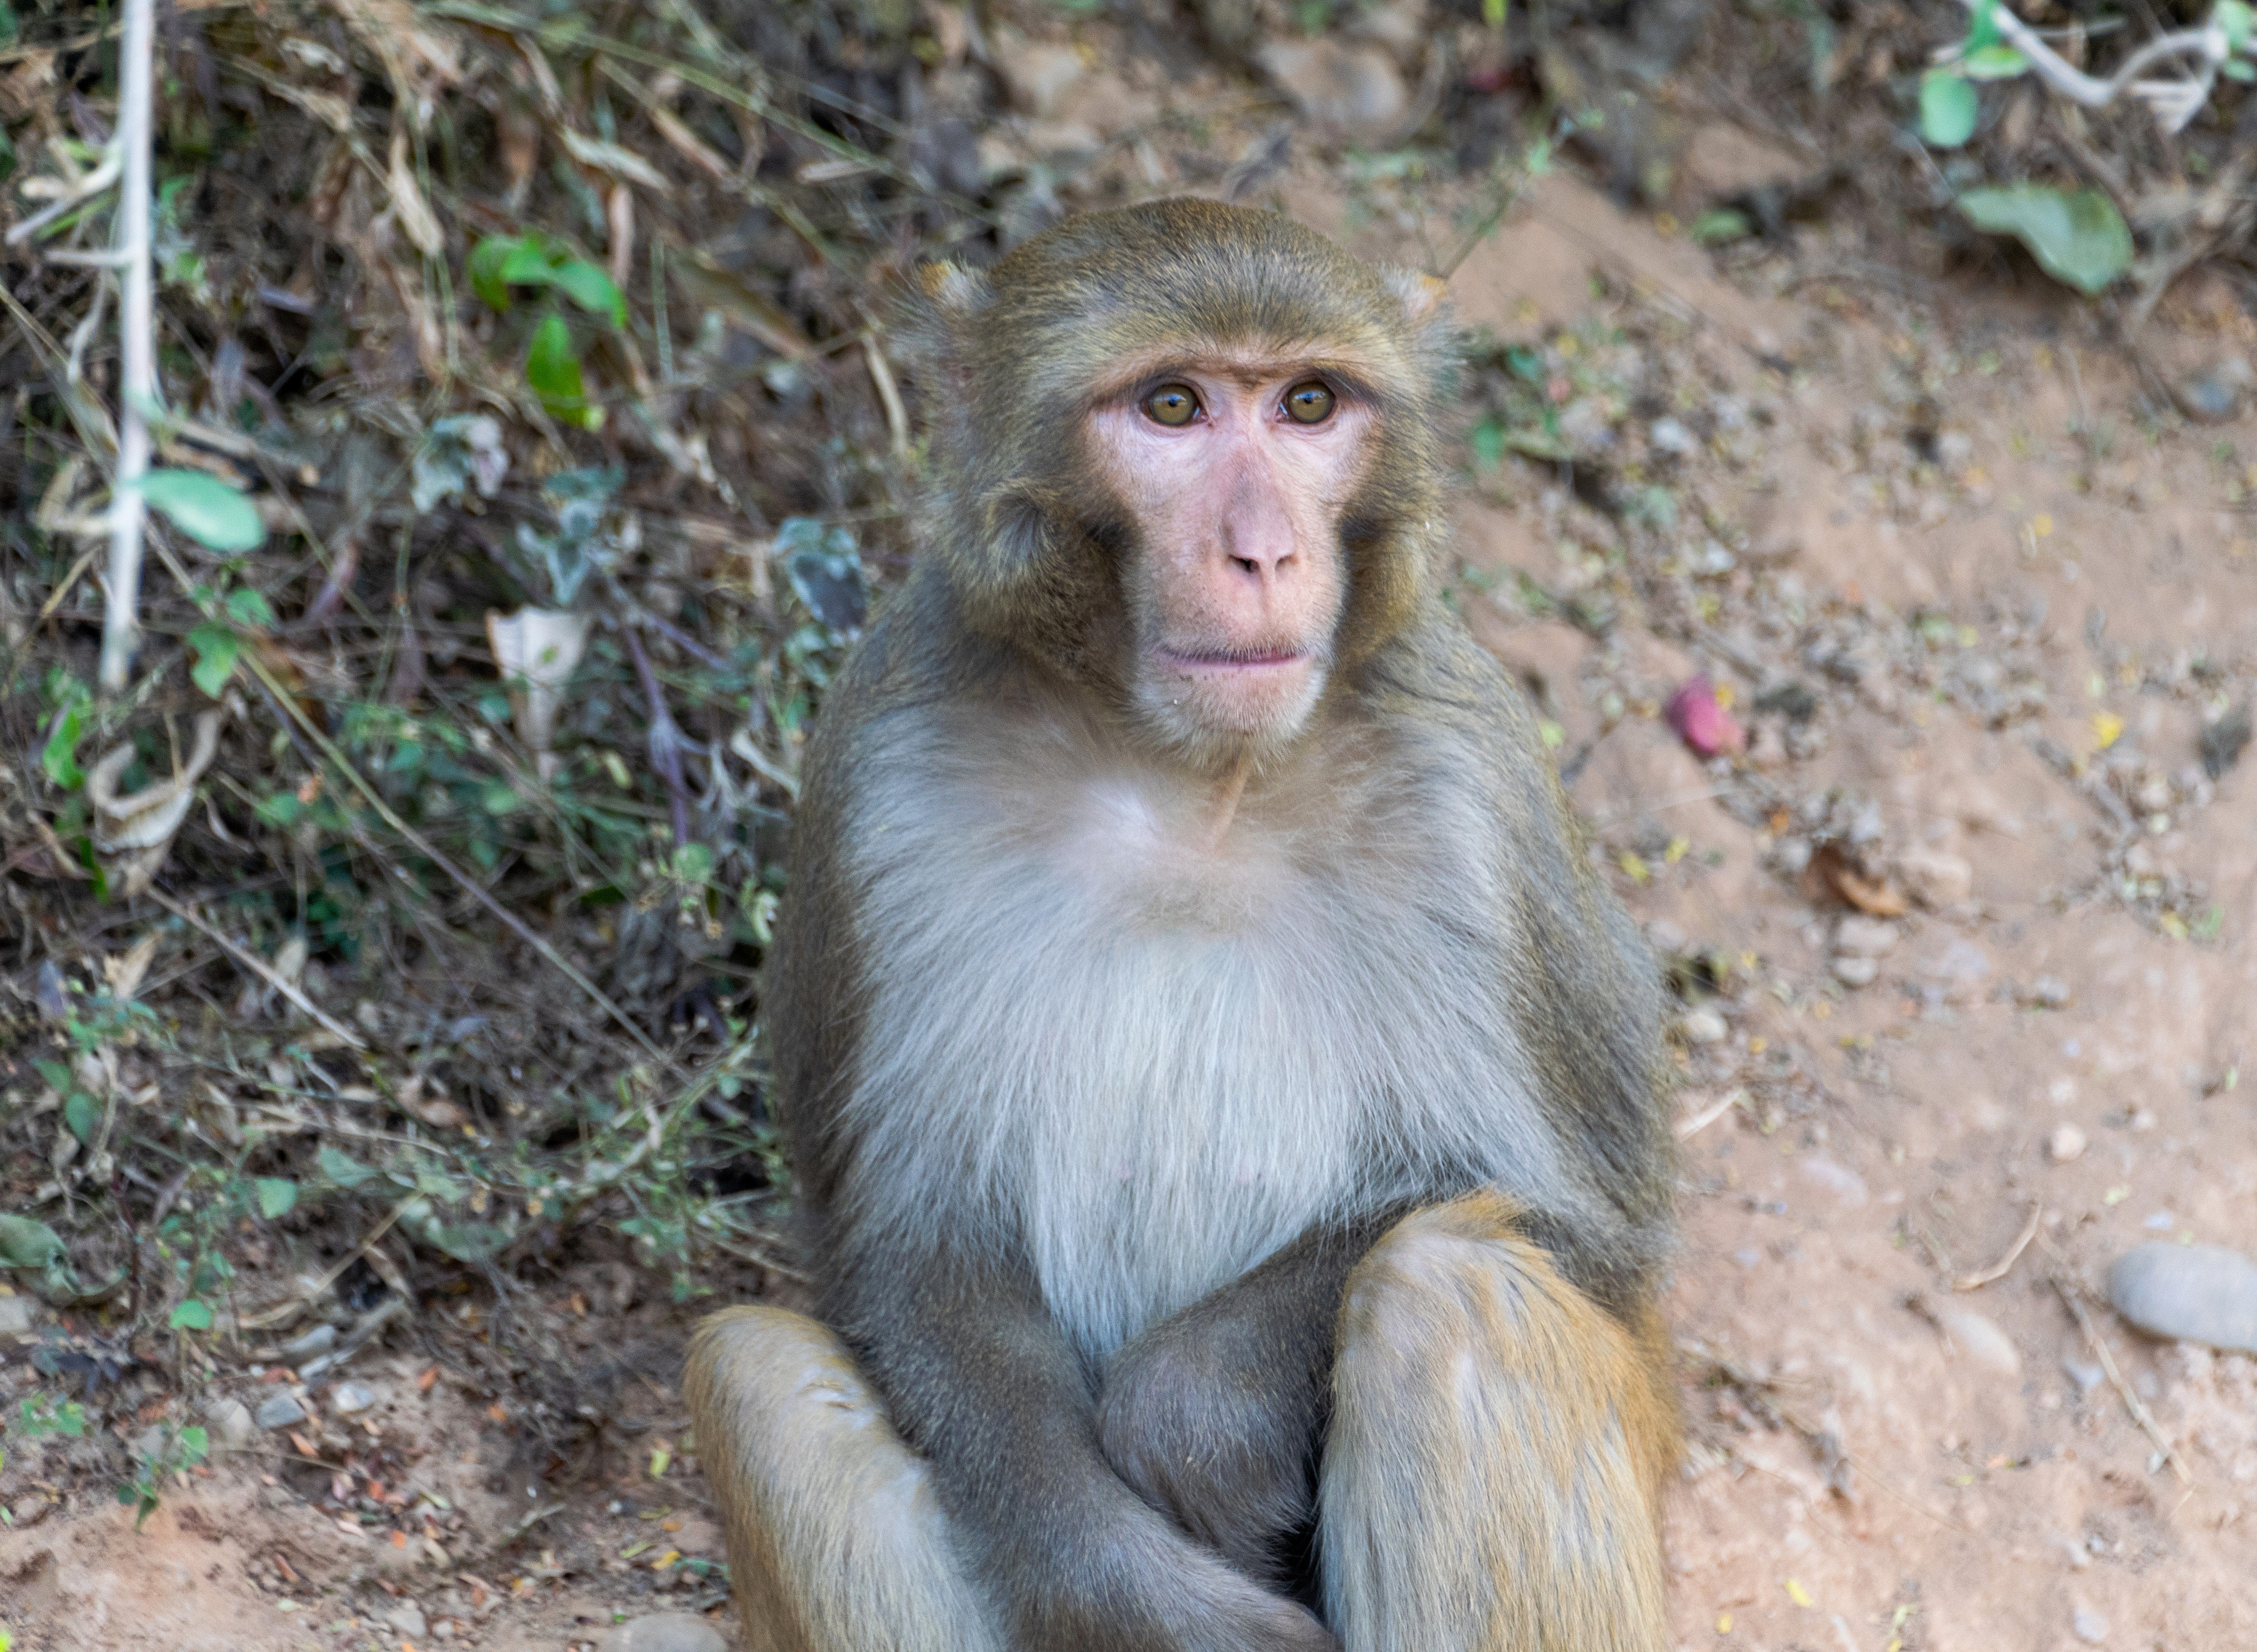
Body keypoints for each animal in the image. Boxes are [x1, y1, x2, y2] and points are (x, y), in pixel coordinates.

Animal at [685, 197, 1679, 1652]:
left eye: (1309, 404)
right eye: (1172, 406)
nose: (1264, 553)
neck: (1188, 780)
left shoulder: (1475, 790)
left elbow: (1585, 1228)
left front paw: (1193, 1416)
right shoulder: (881, 773)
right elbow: (916, 1254)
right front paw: (1154, 1601)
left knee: (1452, 1288)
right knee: (752, 1373)